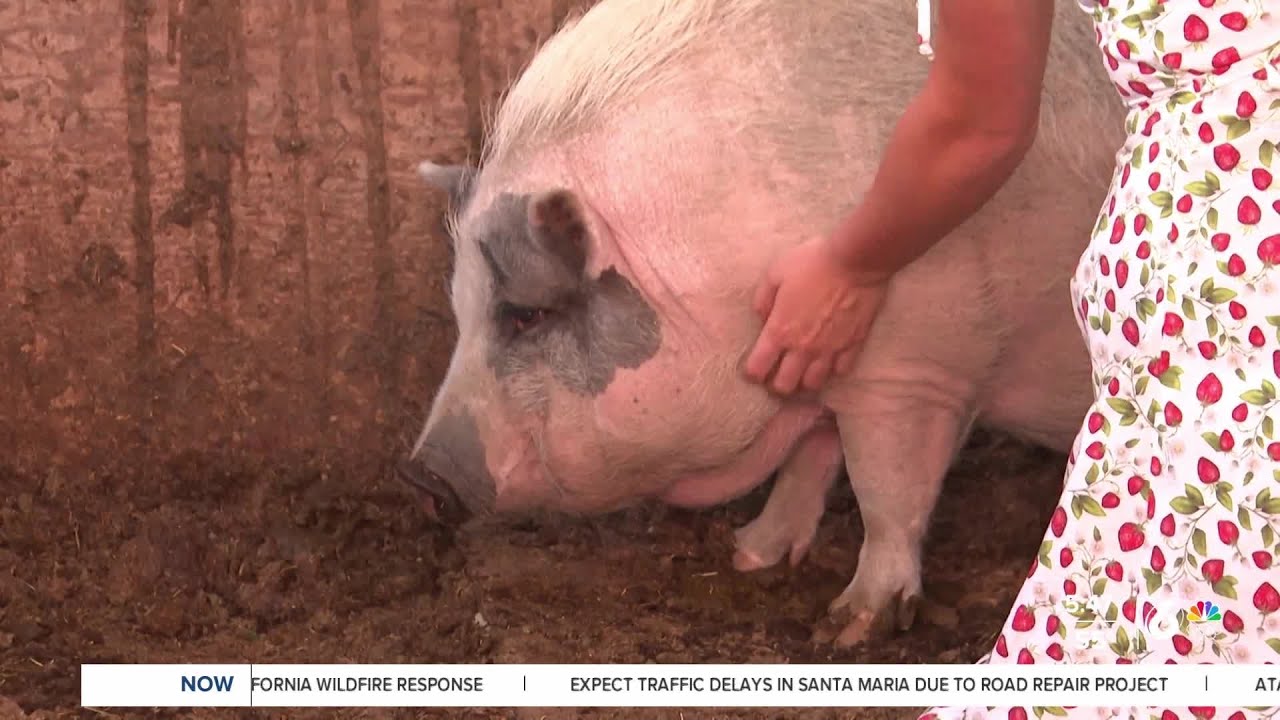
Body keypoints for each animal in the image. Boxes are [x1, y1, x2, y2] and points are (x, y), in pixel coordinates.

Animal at [400, 0, 1127, 646]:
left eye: (527, 313)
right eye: (462, 308)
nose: (419, 477)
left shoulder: (917, 368)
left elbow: (888, 492)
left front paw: (847, 627)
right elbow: (810, 458)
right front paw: (748, 554)